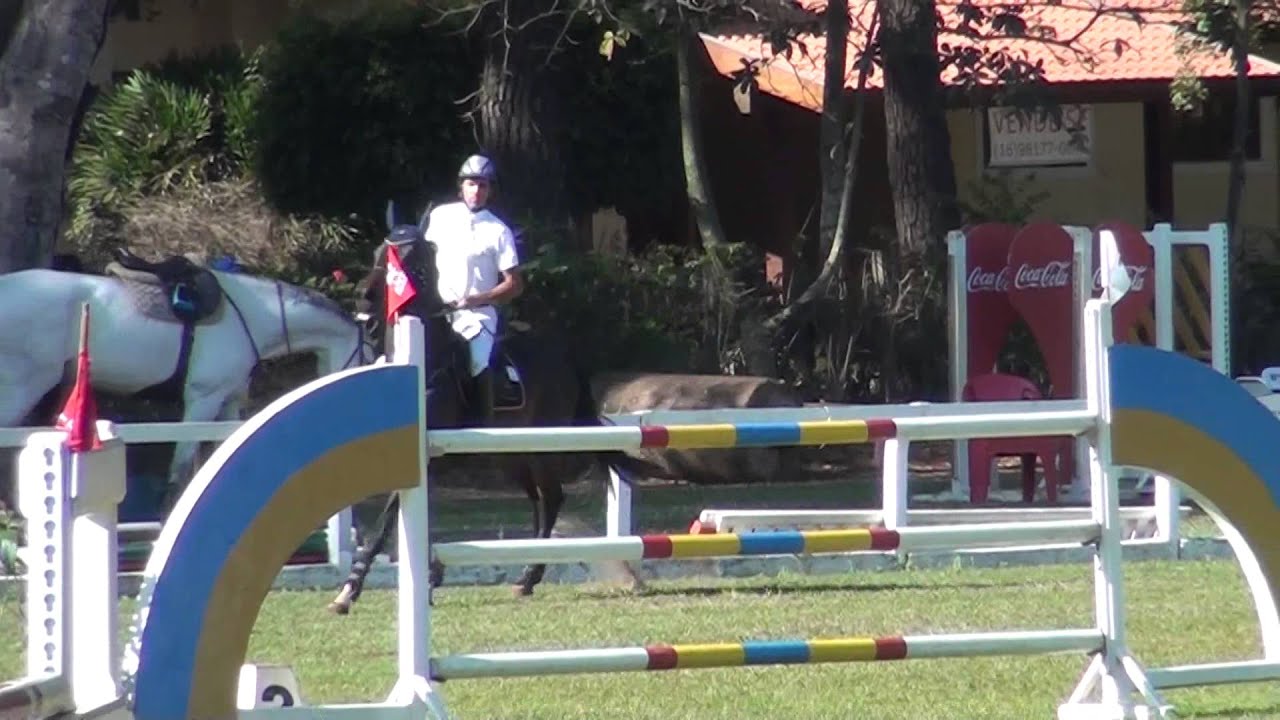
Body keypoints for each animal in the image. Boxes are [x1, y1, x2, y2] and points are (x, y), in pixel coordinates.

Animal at [0, 254, 376, 495]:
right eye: (367, 359)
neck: (255, 314)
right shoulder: (202, 400)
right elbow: (179, 473)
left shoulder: (229, 401)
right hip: (24, 387)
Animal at [326, 204, 637, 612]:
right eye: (380, 250)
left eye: (412, 259)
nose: (364, 298)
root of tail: (565, 359)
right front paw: (429, 576)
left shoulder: (424, 459)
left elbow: (389, 517)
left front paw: (350, 589)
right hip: (512, 456)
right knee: (539, 501)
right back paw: (527, 574)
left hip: (540, 449)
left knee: (551, 498)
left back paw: (529, 576)